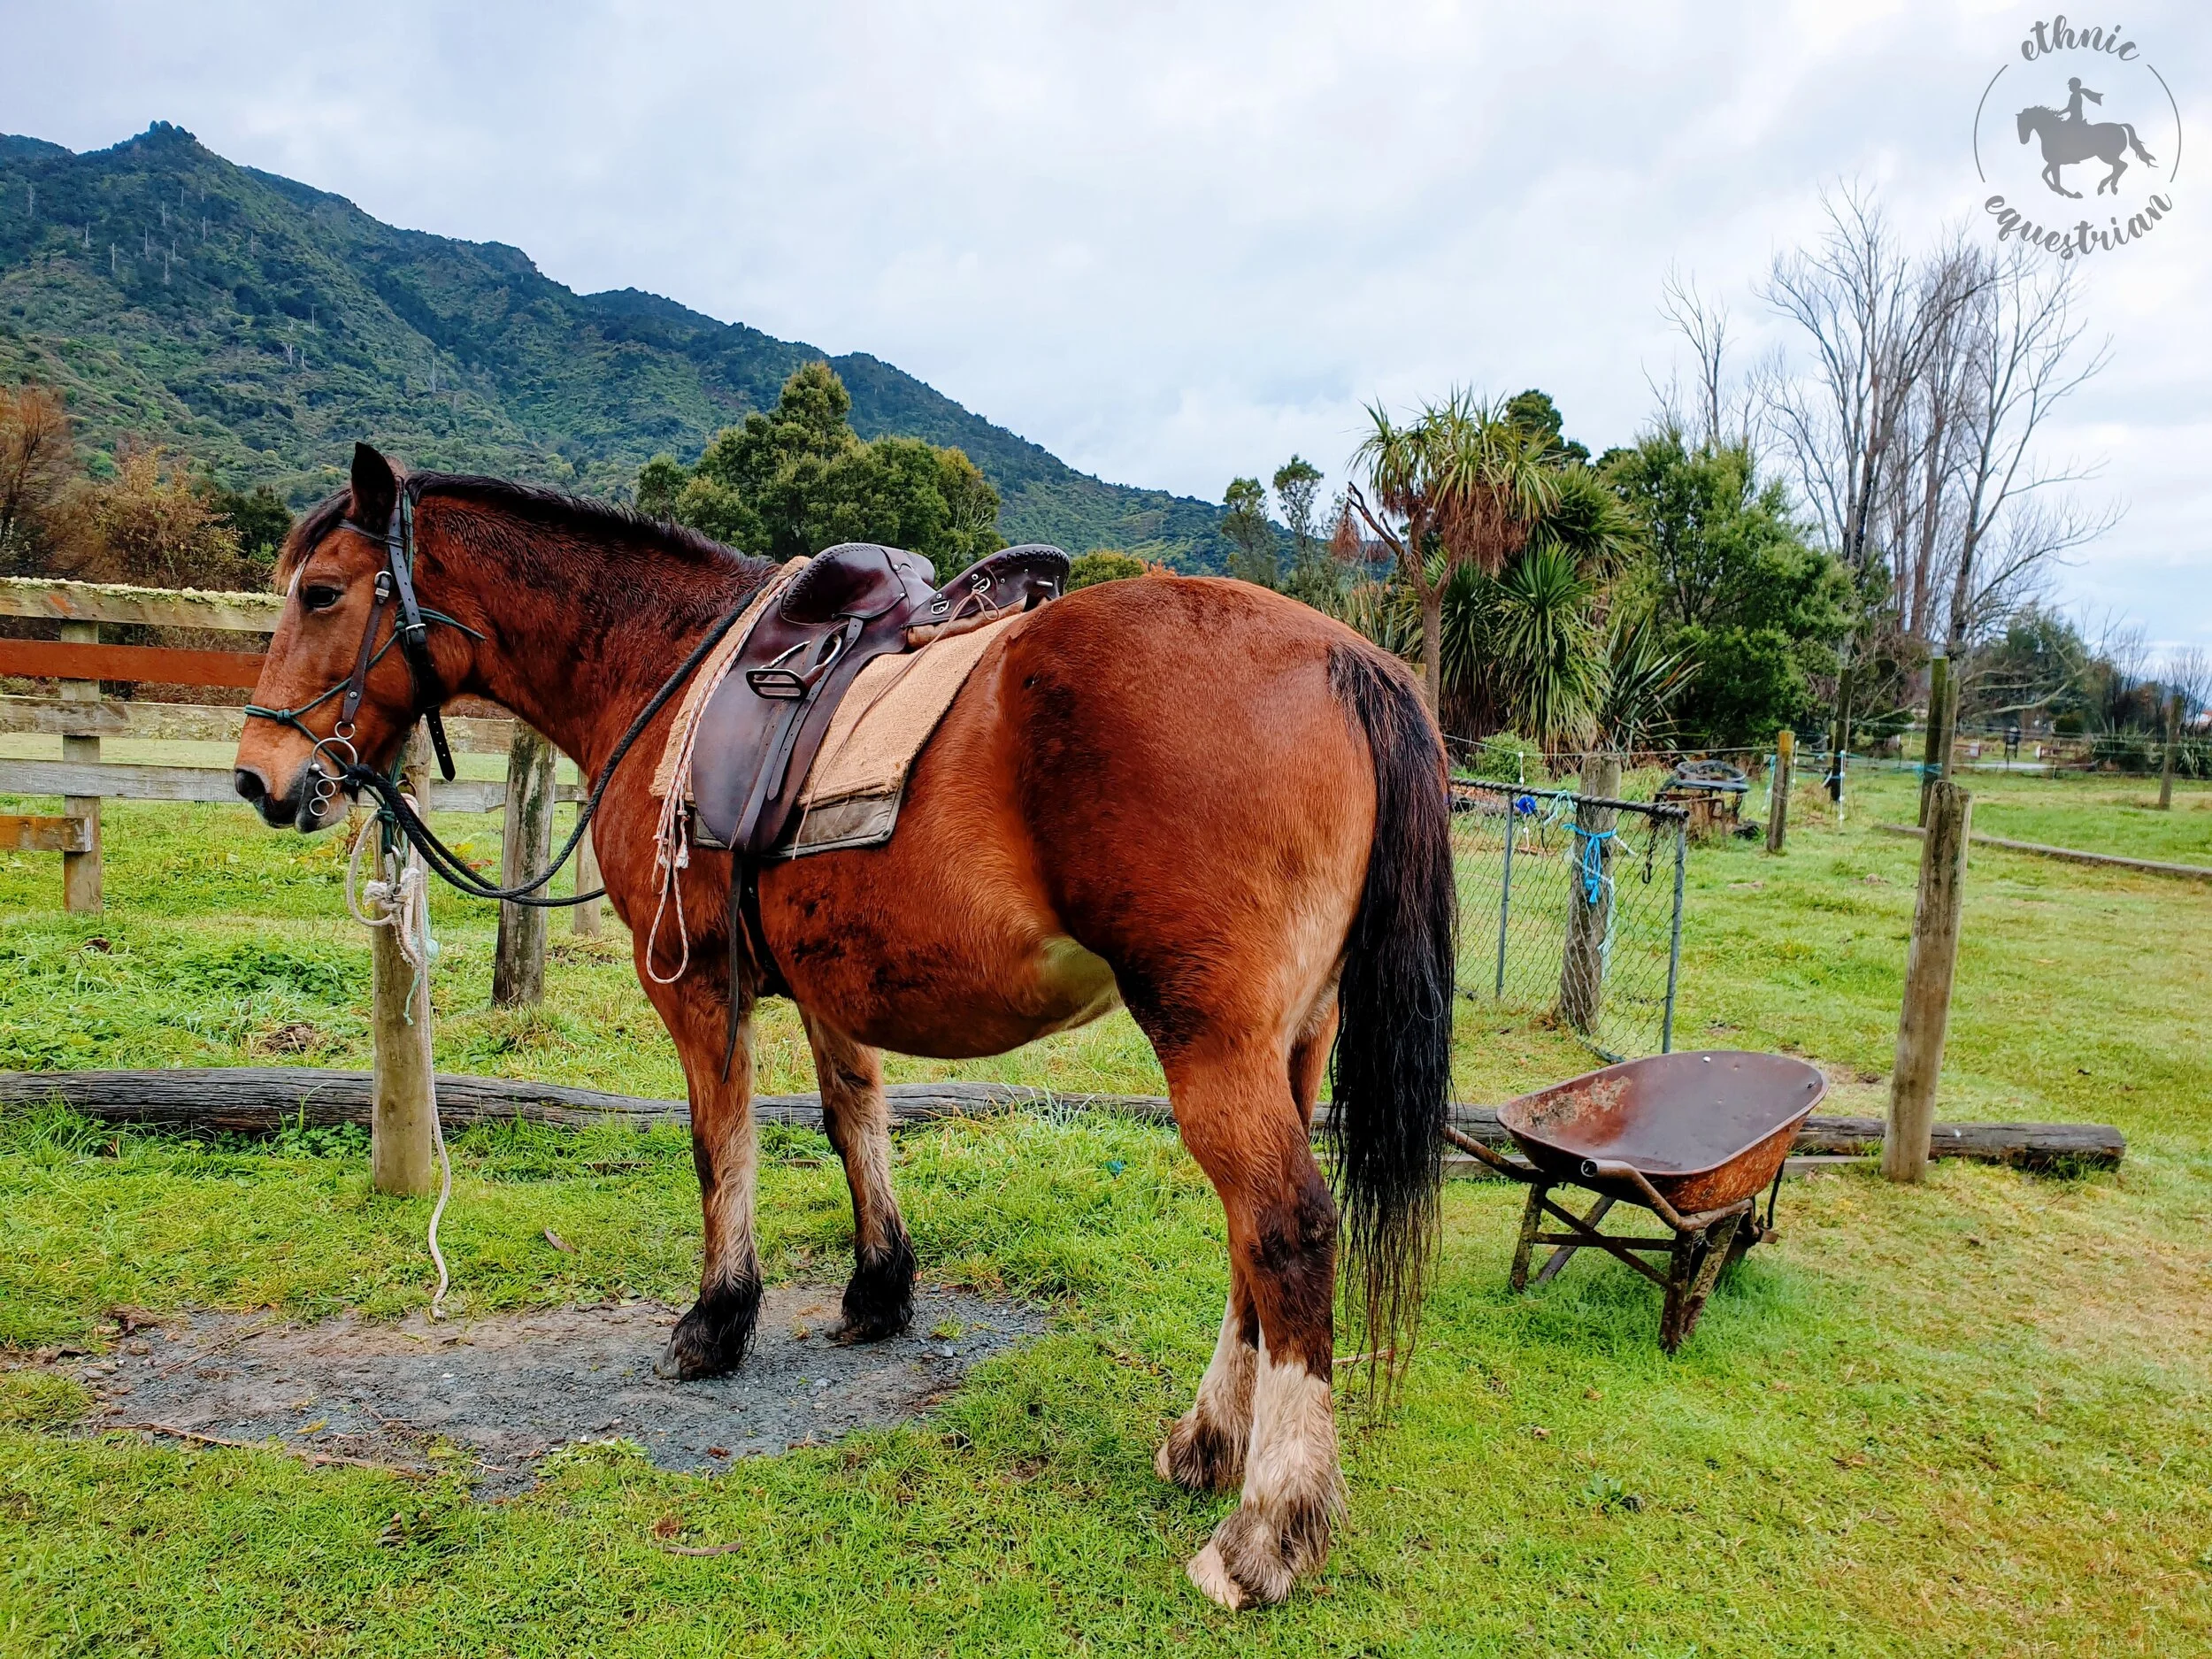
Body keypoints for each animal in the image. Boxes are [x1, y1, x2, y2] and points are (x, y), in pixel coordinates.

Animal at [233, 443, 1456, 1609]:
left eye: (324, 593)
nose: (257, 777)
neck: (665, 670)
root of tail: (1349, 661)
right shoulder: (833, 986)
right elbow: (852, 1120)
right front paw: (879, 1290)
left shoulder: (694, 982)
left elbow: (721, 1147)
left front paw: (718, 1320)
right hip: (1290, 1043)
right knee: (1253, 1244)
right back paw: (1207, 1442)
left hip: (1209, 1040)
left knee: (1285, 1228)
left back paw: (1265, 1533)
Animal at [2017, 105, 2156, 198]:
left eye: (2023, 123)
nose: (2023, 141)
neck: (2051, 130)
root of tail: (2119, 126)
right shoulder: (2055, 163)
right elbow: (2047, 176)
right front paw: (2068, 193)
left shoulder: (2055, 162)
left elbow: (2051, 178)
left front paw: (2067, 193)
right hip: (2109, 156)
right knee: (2119, 167)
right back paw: (2110, 186)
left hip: (2106, 156)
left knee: (2122, 165)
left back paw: (2104, 186)